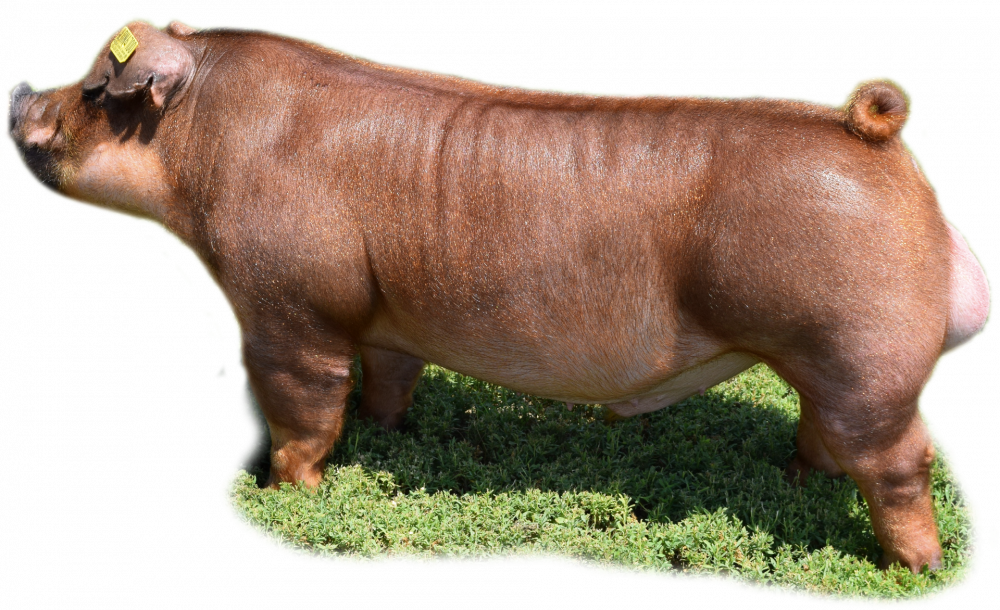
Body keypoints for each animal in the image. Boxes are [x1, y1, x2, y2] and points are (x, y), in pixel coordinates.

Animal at [3, 17, 991, 574]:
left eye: (93, 88)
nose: (18, 103)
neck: (210, 142)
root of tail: (878, 140)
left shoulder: (287, 308)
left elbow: (303, 409)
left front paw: (286, 495)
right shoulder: (384, 320)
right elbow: (386, 383)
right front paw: (392, 441)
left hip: (862, 357)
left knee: (899, 461)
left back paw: (912, 570)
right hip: (831, 365)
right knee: (825, 437)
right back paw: (790, 485)